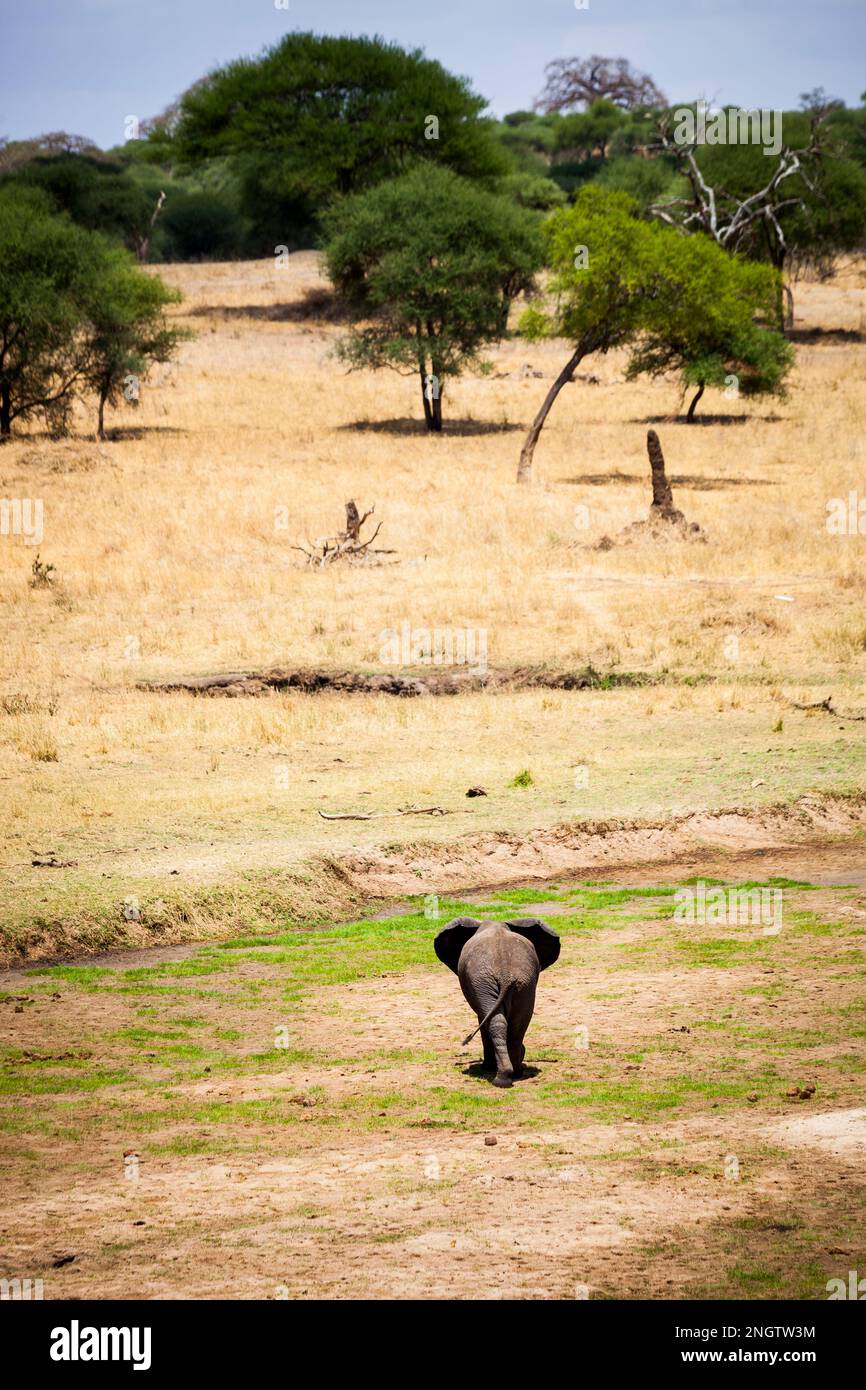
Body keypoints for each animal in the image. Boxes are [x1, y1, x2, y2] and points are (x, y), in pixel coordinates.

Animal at [434, 916, 560, 1087]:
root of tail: (505, 974)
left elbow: (482, 1019)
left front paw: (486, 1067)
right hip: (522, 982)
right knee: (518, 1023)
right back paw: (514, 1073)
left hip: (484, 981)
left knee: (495, 1022)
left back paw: (500, 1078)